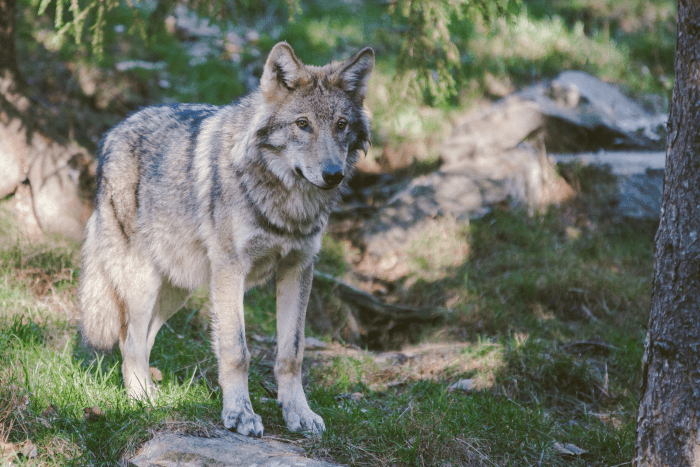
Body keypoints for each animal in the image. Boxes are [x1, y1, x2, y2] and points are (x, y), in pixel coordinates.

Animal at [78, 42, 374, 437]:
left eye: (341, 125)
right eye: (302, 124)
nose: (333, 175)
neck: (287, 203)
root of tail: (112, 133)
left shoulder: (298, 268)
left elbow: (291, 353)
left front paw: (299, 413)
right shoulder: (232, 270)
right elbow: (237, 351)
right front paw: (240, 414)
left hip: (176, 290)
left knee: (144, 339)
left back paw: (154, 395)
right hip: (143, 283)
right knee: (129, 342)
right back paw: (143, 401)